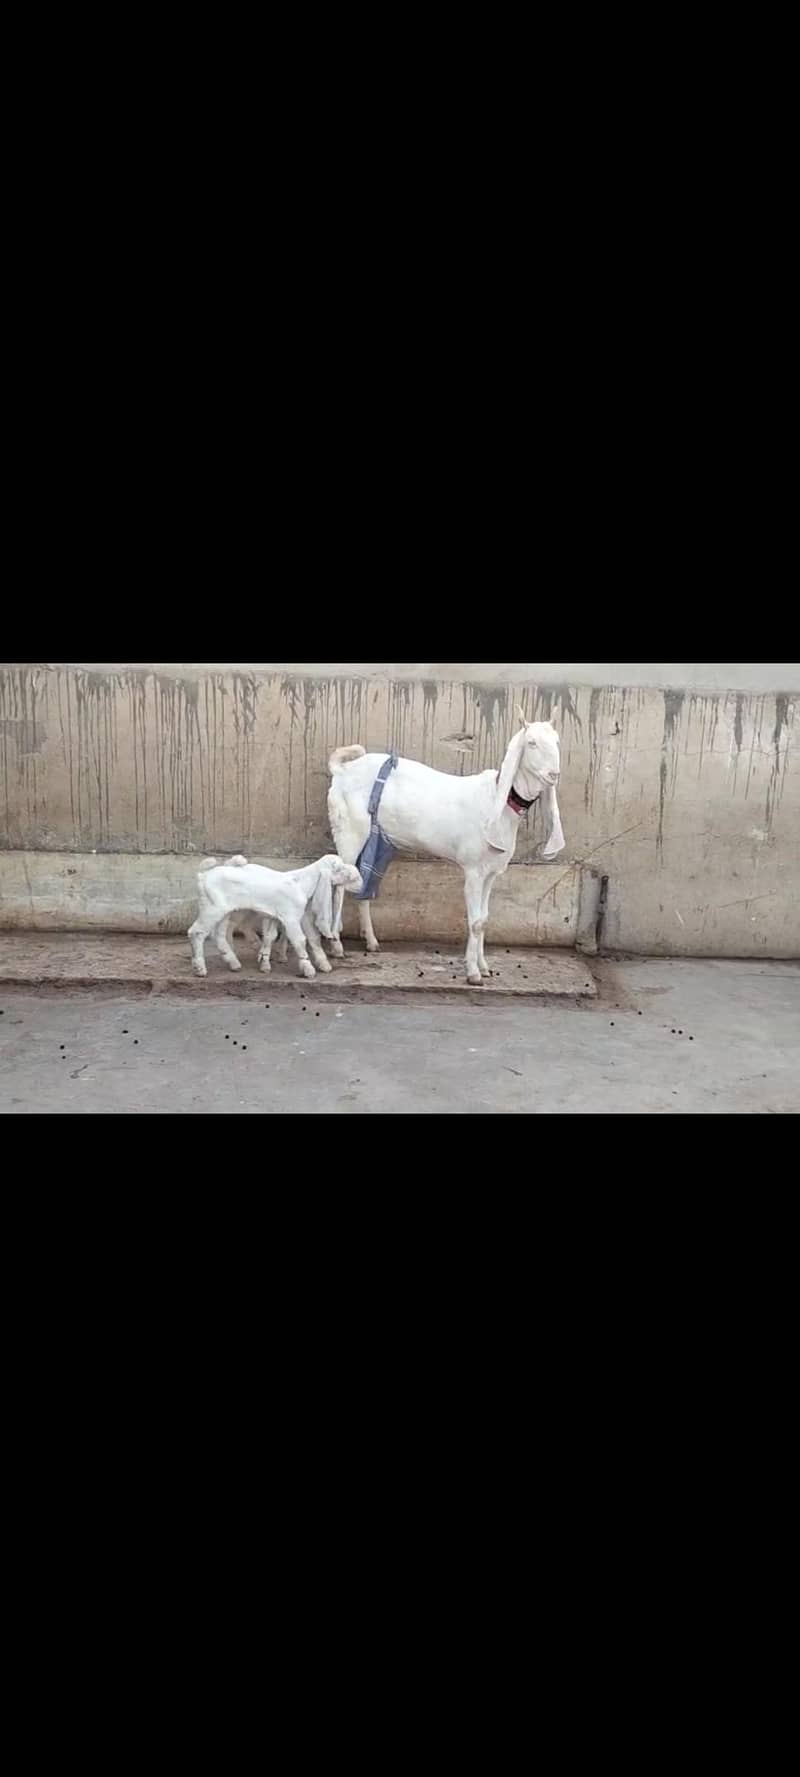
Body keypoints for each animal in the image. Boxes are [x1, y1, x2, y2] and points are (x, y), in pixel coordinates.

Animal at [188, 854, 362, 979]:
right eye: (339, 868)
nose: (358, 878)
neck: (302, 883)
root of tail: (202, 875)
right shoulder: (291, 917)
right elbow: (300, 940)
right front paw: (308, 969)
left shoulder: (298, 915)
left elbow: (312, 937)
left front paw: (323, 964)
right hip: (212, 908)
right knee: (196, 932)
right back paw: (200, 968)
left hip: (225, 912)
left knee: (219, 934)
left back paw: (233, 962)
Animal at [327, 710, 564, 985]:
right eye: (531, 743)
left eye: (557, 741)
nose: (553, 774)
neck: (497, 801)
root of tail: (342, 770)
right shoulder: (473, 869)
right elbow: (475, 922)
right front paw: (473, 973)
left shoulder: (491, 872)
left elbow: (484, 919)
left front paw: (485, 967)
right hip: (348, 831)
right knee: (339, 886)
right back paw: (336, 946)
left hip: (377, 840)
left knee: (363, 881)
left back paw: (371, 941)